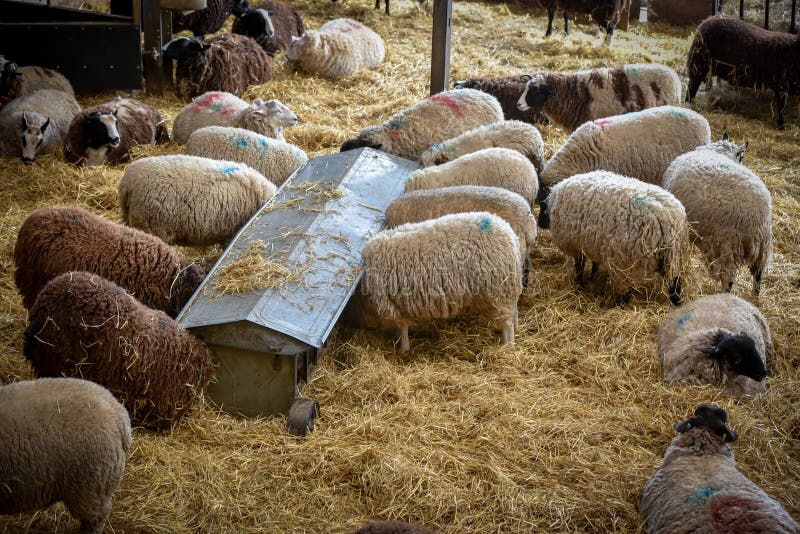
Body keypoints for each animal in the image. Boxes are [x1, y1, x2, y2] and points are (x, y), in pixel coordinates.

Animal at [350, 212, 522, 353]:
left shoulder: (393, 304)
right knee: (513, 313)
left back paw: (508, 346)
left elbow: (403, 327)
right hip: (508, 288)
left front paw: (403, 349)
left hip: (497, 291)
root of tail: (510, 234)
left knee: (507, 324)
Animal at [540, 171, 688, 305]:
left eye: (541, 206)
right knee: (675, 283)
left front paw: (580, 283)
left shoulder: (575, 245)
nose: (540, 224)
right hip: (672, 257)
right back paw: (677, 303)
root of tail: (665, 218)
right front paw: (593, 277)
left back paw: (618, 304)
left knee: (626, 290)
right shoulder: (594, 242)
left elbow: (579, 266)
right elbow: (594, 263)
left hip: (627, 263)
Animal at [662, 138, 772, 295]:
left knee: (729, 278)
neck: (719, 152)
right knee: (758, 273)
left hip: (727, 242)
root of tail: (756, 215)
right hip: (762, 246)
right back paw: (755, 296)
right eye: (742, 157)